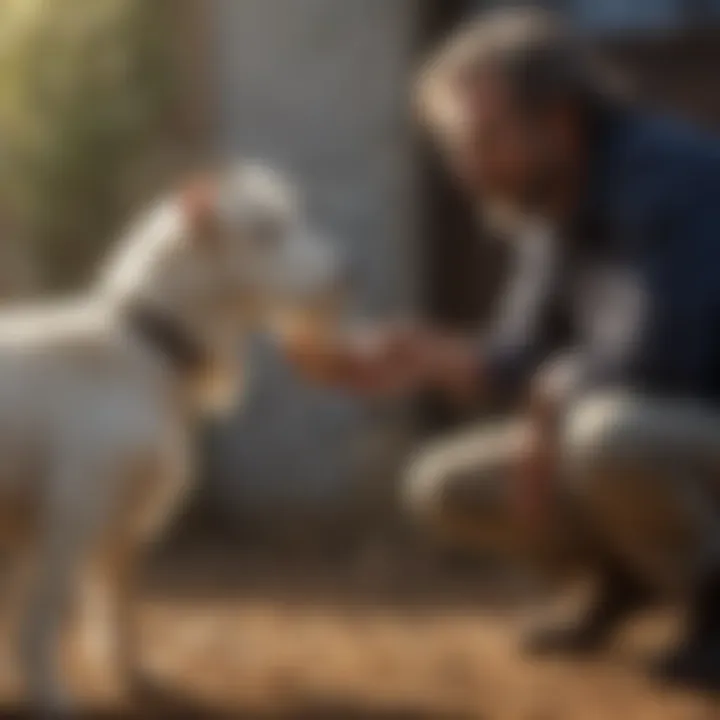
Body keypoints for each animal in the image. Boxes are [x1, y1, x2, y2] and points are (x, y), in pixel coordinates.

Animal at [0, 165, 340, 716]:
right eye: (265, 232)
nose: (342, 274)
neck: (142, 353)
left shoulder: (122, 523)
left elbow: (119, 604)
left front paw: (133, 675)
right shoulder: (71, 515)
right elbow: (41, 617)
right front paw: (50, 694)